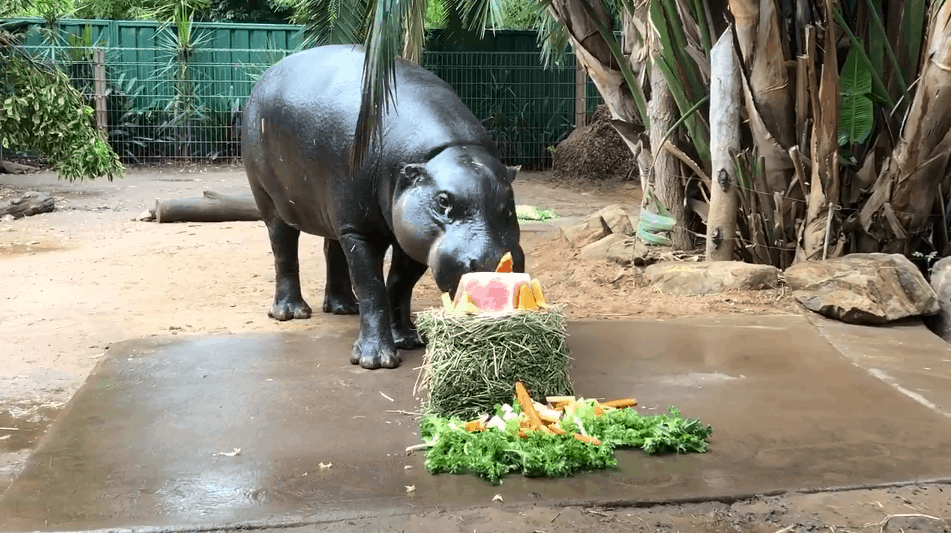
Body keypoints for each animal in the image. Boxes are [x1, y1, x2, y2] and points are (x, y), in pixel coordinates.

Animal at [241, 44, 526, 370]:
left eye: (509, 205)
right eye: (442, 201)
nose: (494, 263)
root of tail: (267, 75)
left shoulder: (413, 236)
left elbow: (400, 285)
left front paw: (408, 340)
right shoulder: (363, 232)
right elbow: (372, 288)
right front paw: (375, 360)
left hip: (336, 213)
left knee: (332, 249)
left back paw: (344, 307)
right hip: (270, 199)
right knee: (283, 250)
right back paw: (291, 312)